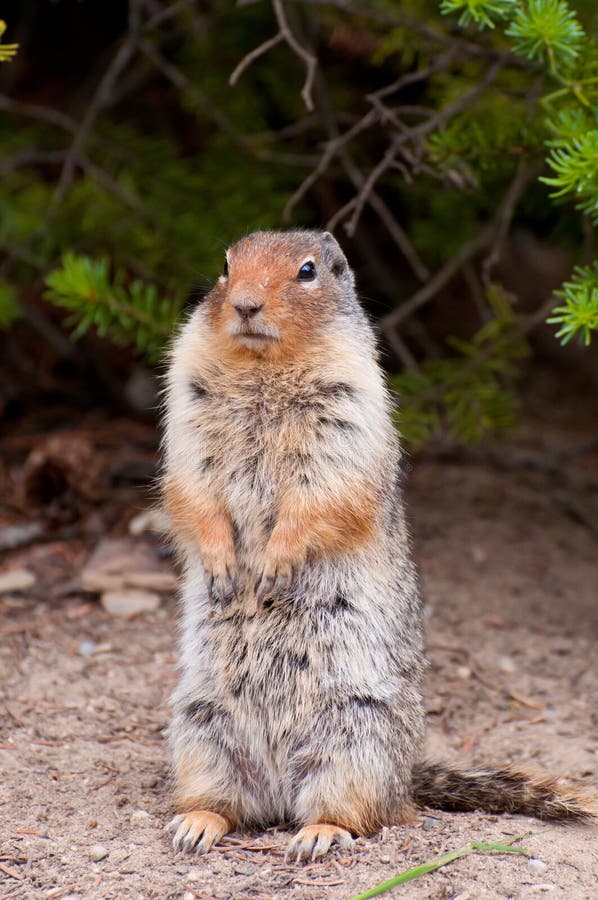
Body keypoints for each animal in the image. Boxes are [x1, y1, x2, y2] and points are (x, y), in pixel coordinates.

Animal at [161, 229, 595, 862]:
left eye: (308, 271)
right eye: (225, 265)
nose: (243, 304)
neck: (264, 367)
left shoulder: (348, 411)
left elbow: (324, 496)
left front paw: (273, 564)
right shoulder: (187, 413)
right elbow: (191, 491)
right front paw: (222, 562)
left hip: (356, 737)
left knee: (357, 813)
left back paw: (316, 834)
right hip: (201, 726)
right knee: (229, 803)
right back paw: (197, 823)